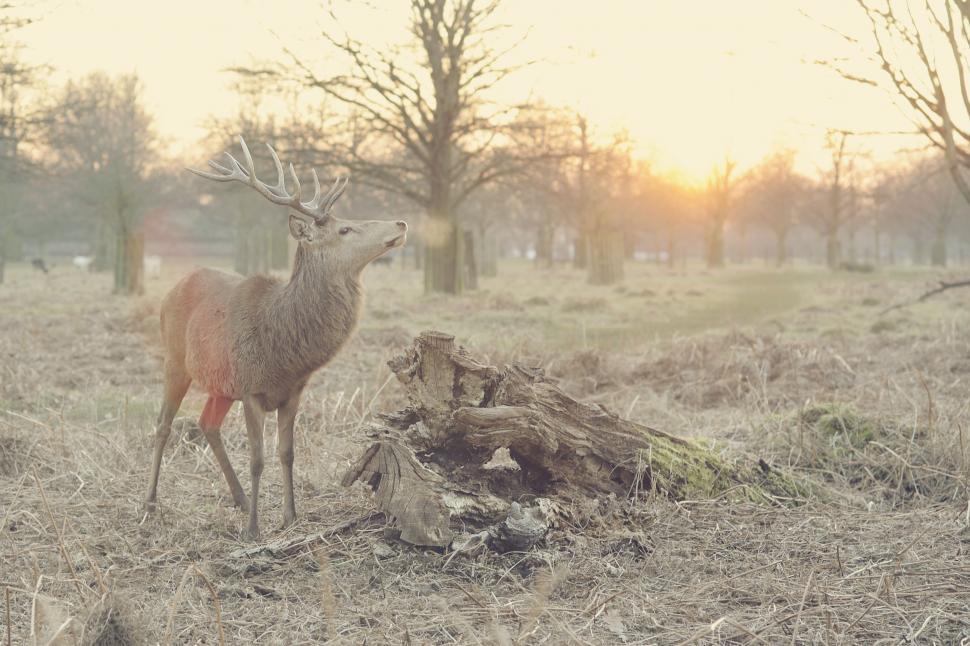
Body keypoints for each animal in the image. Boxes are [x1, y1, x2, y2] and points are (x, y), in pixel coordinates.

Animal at [145, 136, 407, 539]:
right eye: (345, 230)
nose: (401, 221)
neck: (283, 350)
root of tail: (174, 286)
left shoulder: (292, 391)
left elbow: (287, 452)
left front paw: (290, 516)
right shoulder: (251, 388)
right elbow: (257, 458)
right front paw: (254, 528)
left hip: (221, 384)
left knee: (207, 424)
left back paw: (238, 498)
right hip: (175, 360)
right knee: (163, 424)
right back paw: (150, 503)